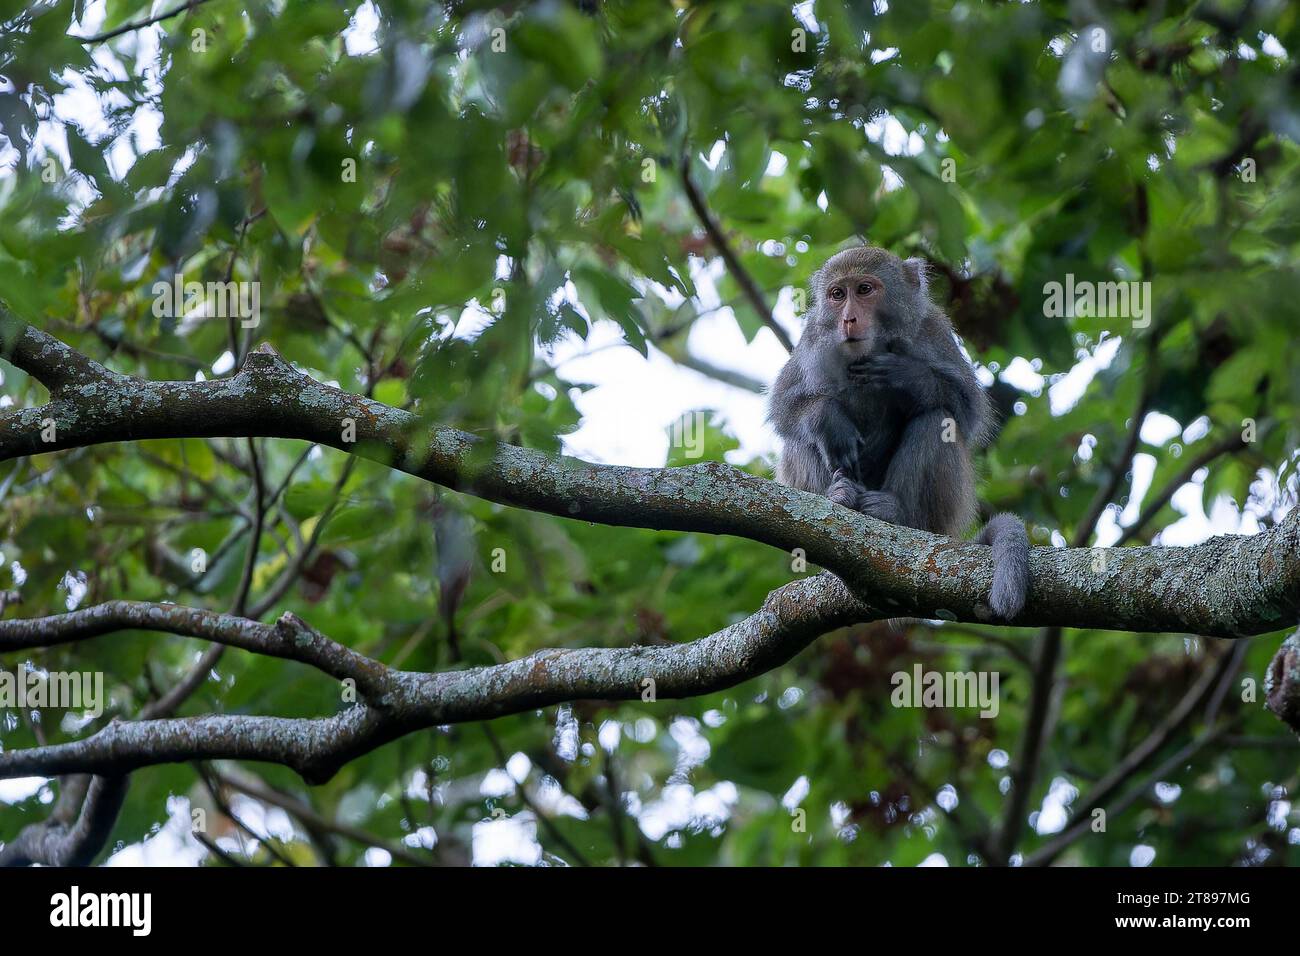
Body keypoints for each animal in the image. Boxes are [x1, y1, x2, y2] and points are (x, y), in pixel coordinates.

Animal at [768, 245, 1028, 620]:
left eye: (864, 290)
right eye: (837, 295)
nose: (848, 319)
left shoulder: (933, 331)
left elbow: (968, 410)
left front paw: (908, 376)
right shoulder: (812, 340)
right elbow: (785, 406)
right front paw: (828, 419)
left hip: (937, 521)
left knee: (938, 418)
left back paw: (897, 513)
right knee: (800, 438)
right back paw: (838, 495)